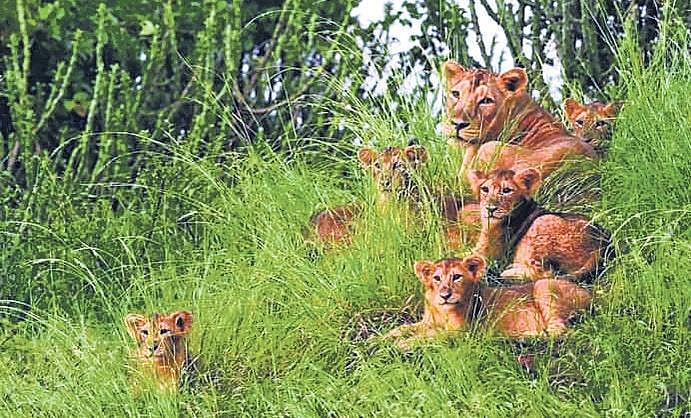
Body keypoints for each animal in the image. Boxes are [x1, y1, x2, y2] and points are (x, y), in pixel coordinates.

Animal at [385, 256, 592, 347]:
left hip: (544, 286)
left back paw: (520, 337)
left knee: (560, 331)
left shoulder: (462, 331)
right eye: (436, 278)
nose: (445, 295)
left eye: (457, 277)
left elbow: (432, 335)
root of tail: (590, 295)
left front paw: (402, 344)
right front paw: (382, 338)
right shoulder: (427, 321)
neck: (442, 311)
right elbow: (404, 327)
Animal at [469, 167, 611, 282]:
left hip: (542, 221)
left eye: (506, 190)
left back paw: (511, 272)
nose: (490, 208)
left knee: (547, 274)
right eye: (485, 189)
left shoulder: (489, 255)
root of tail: (602, 247)